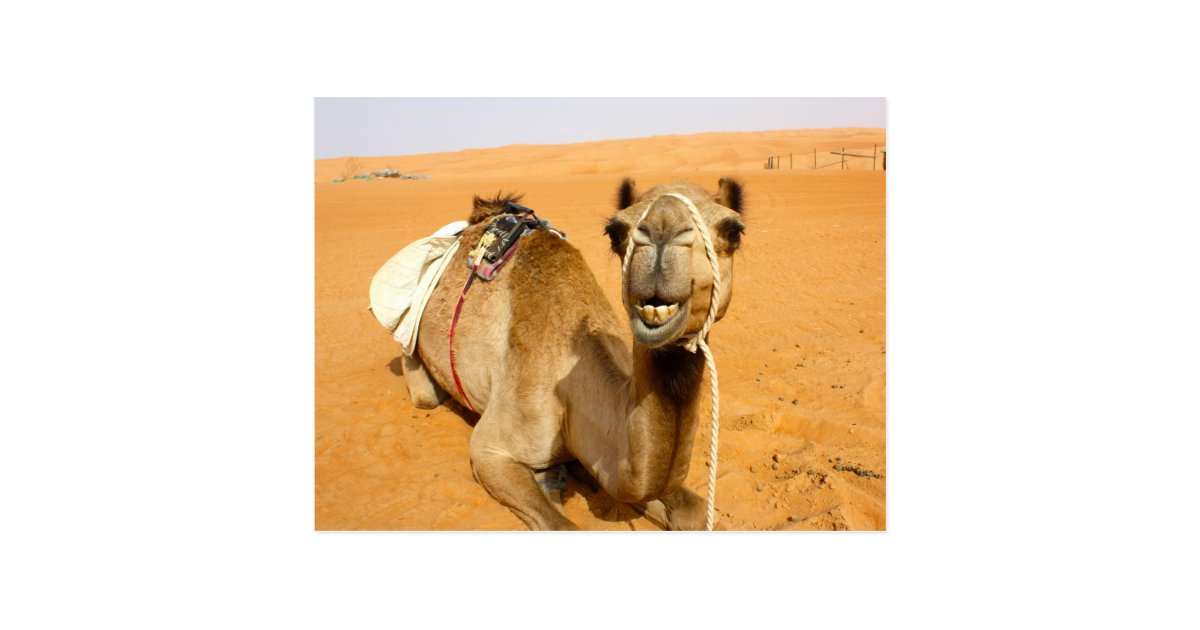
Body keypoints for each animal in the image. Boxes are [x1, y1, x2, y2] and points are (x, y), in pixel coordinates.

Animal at [399, 177, 745, 530]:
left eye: (734, 231)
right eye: (615, 232)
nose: (662, 230)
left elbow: (696, 511)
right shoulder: (490, 450)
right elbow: (560, 524)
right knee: (423, 390)